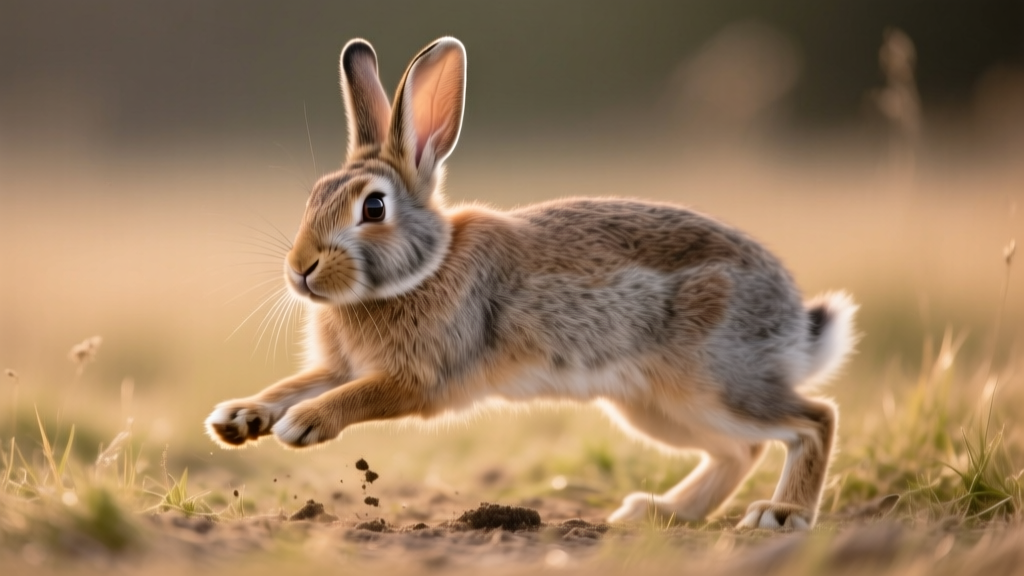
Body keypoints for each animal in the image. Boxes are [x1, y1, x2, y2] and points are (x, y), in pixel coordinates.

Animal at [205, 37, 858, 530]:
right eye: (314, 196)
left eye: (373, 208)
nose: (301, 268)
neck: (420, 270)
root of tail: (794, 319)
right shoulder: (343, 365)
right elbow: (297, 383)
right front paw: (240, 418)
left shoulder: (419, 378)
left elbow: (357, 395)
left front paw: (304, 423)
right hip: (657, 409)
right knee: (740, 448)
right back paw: (658, 512)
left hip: (712, 383)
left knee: (814, 420)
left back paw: (781, 515)